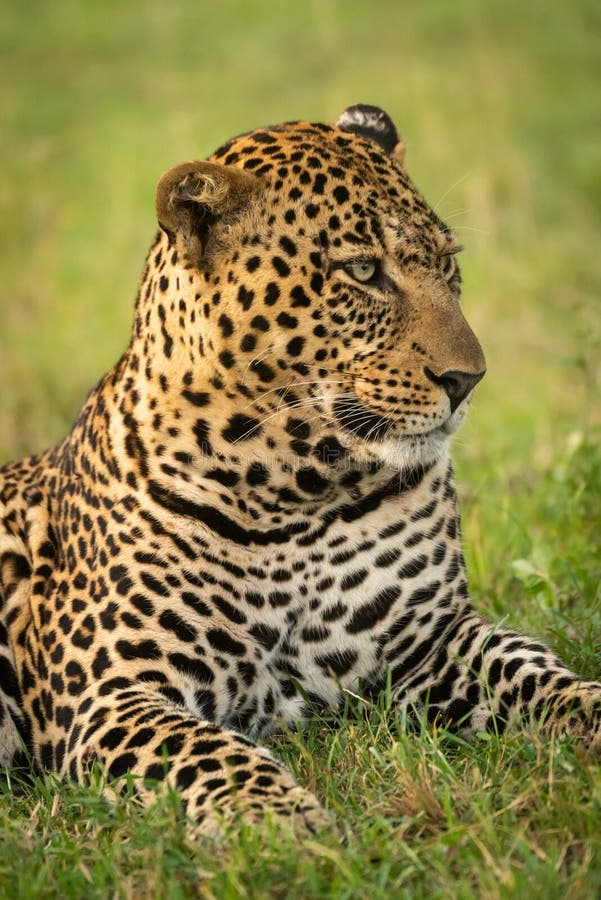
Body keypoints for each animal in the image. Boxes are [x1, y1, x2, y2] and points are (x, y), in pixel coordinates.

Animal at [1, 104, 600, 836]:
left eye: (446, 264)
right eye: (364, 271)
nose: (468, 379)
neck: (289, 492)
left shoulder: (430, 642)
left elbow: (530, 668)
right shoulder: (111, 695)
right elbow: (206, 750)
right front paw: (284, 822)